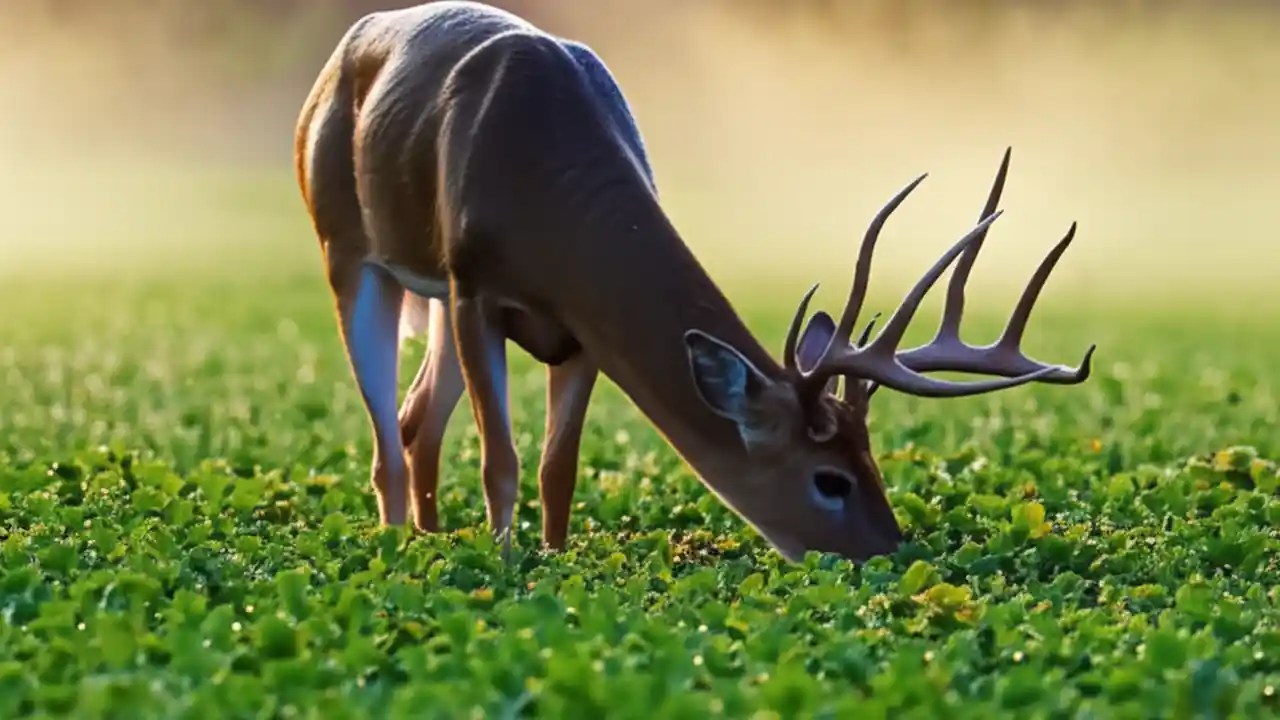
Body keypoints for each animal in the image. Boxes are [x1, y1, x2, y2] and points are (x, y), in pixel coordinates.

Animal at [293, 1, 1093, 563]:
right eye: (829, 478)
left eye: (870, 461)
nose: (892, 552)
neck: (542, 183)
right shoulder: (474, 286)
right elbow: (503, 461)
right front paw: (508, 565)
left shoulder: (582, 329)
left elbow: (559, 467)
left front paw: (552, 559)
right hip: (349, 253)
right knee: (386, 443)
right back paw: (399, 547)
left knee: (417, 422)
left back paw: (429, 539)